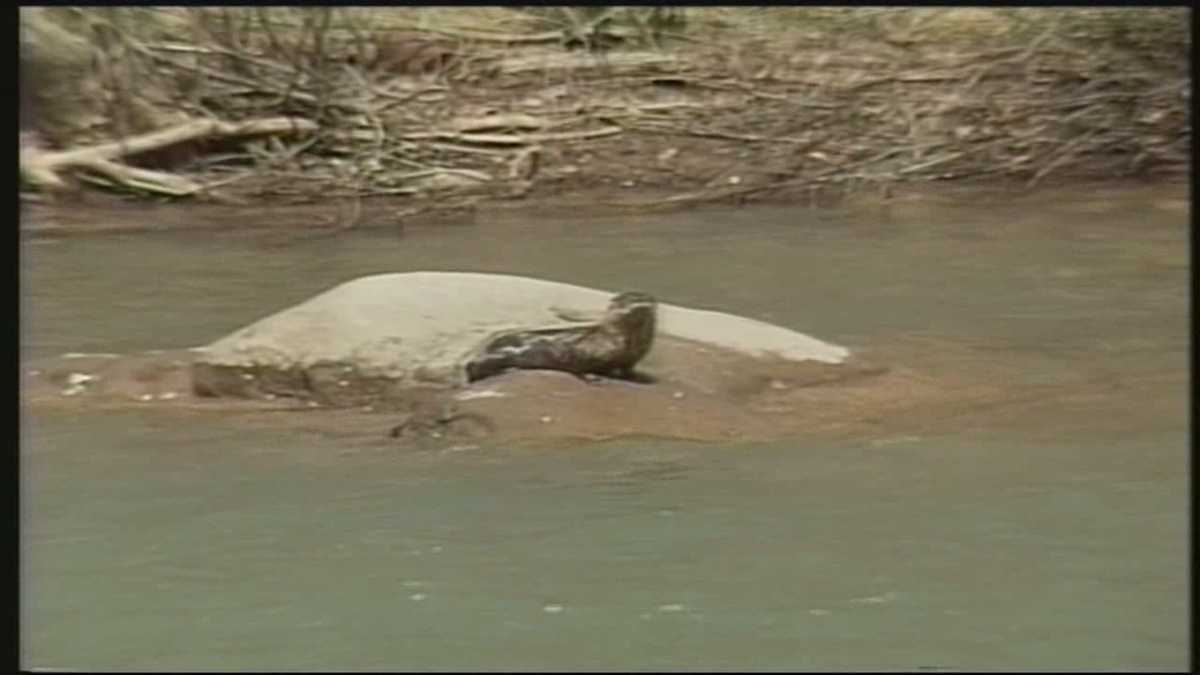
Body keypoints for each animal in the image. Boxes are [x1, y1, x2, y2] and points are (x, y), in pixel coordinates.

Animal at [465, 291, 657, 384]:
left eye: (647, 298)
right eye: (629, 299)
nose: (643, 303)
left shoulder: (630, 359)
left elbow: (628, 369)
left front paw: (639, 377)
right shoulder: (580, 349)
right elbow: (576, 364)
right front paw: (591, 377)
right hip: (503, 353)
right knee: (473, 367)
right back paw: (508, 370)